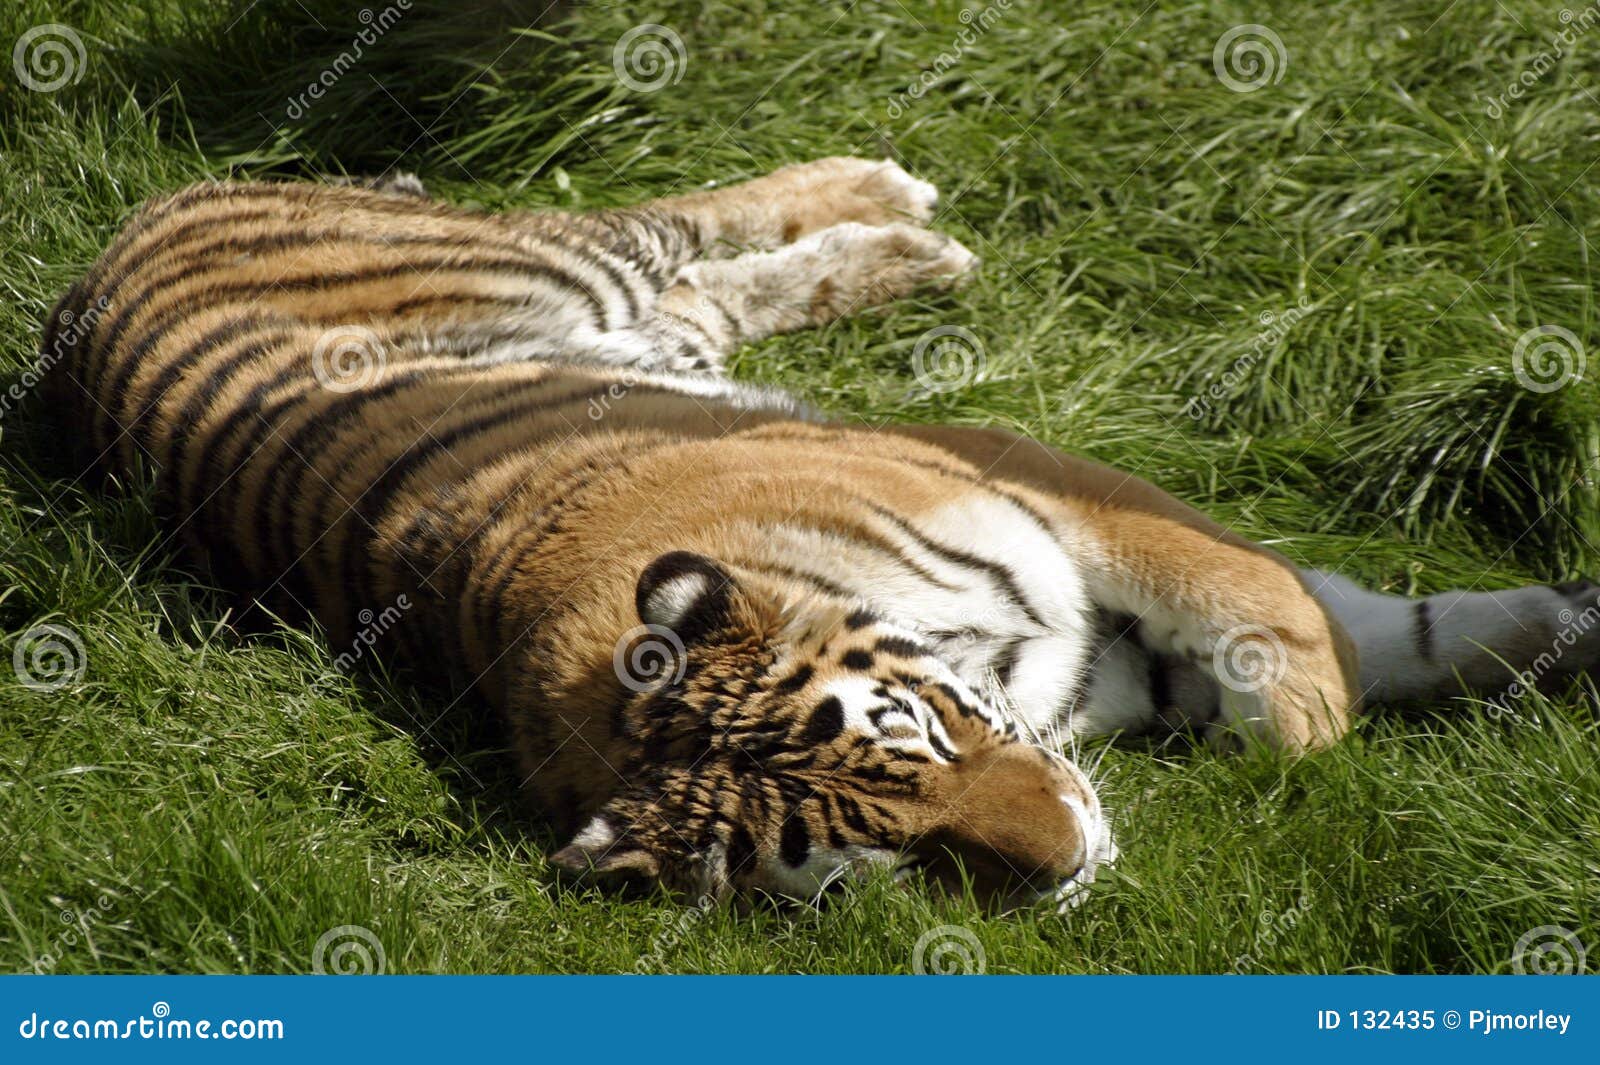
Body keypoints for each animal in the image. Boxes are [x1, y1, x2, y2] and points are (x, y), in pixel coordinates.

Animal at [40, 156, 1600, 909]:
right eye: (892, 856)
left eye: (927, 732)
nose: (1072, 861)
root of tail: (90, 281)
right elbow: (1374, 625)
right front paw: (1548, 630)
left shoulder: (1027, 478)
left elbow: (1267, 605)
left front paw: (1323, 724)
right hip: (653, 318)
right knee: (719, 284)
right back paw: (905, 244)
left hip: (562, 258)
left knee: (674, 218)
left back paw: (895, 202)